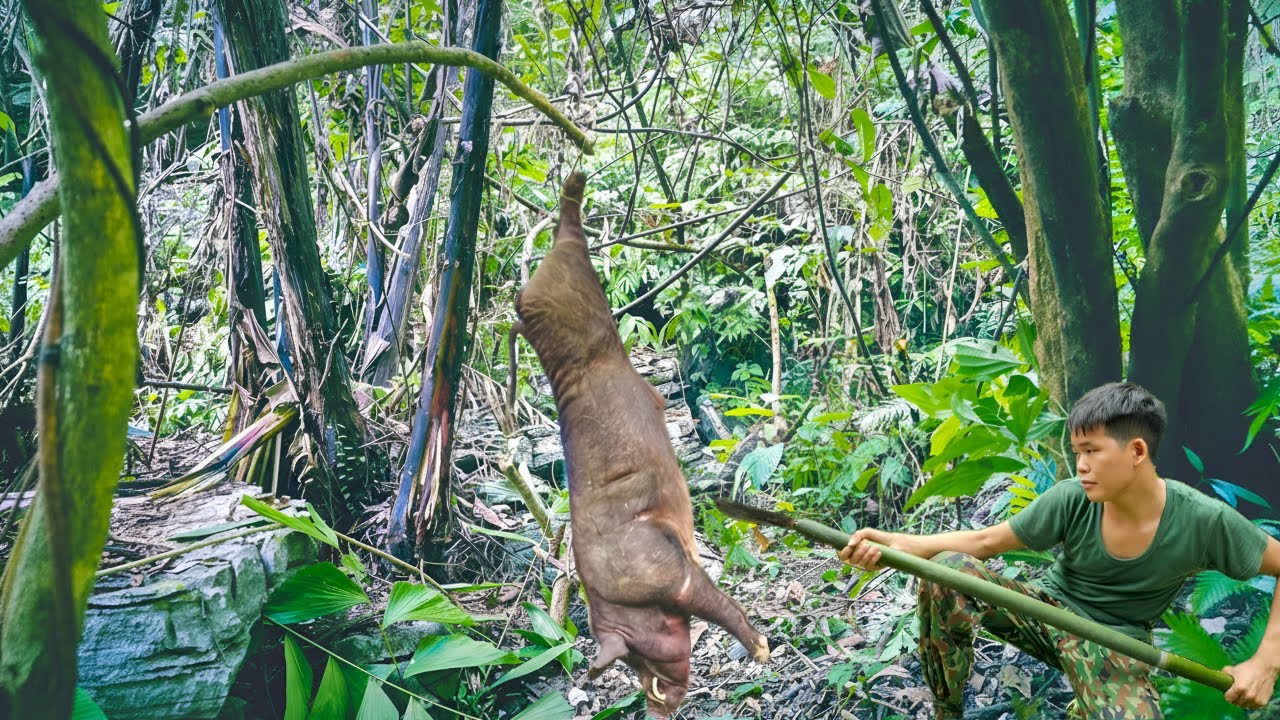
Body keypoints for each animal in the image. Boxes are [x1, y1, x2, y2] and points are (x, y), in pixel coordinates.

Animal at [512, 172, 771, 718]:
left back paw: (575, 184)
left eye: (641, 665)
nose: (656, 707)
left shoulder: (671, 572)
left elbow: (712, 601)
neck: (625, 599)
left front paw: (761, 650)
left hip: (563, 292)